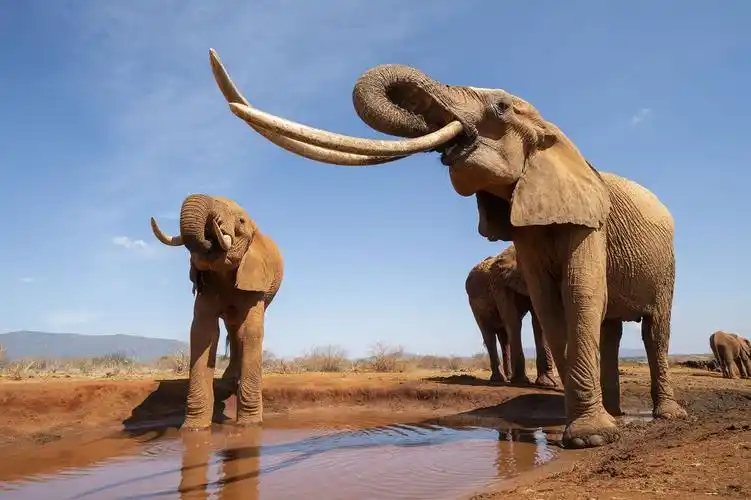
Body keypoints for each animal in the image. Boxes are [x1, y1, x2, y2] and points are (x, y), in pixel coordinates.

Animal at [150, 194, 284, 430]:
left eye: (241, 221)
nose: (211, 230)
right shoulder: (207, 284)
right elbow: (203, 332)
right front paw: (194, 428)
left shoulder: (256, 280)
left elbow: (252, 331)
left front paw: (249, 426)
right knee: (232, 329)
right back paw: (229, 380)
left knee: (239, 330)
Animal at [465, 245, 556, 387]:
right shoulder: (500, 283)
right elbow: (512, 320)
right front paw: (521, 382)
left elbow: (538, 320)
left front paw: (547, 383)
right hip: (474, 305)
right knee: (489, 335)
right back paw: (499, 379)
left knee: (504, 338)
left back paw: (508, 377)